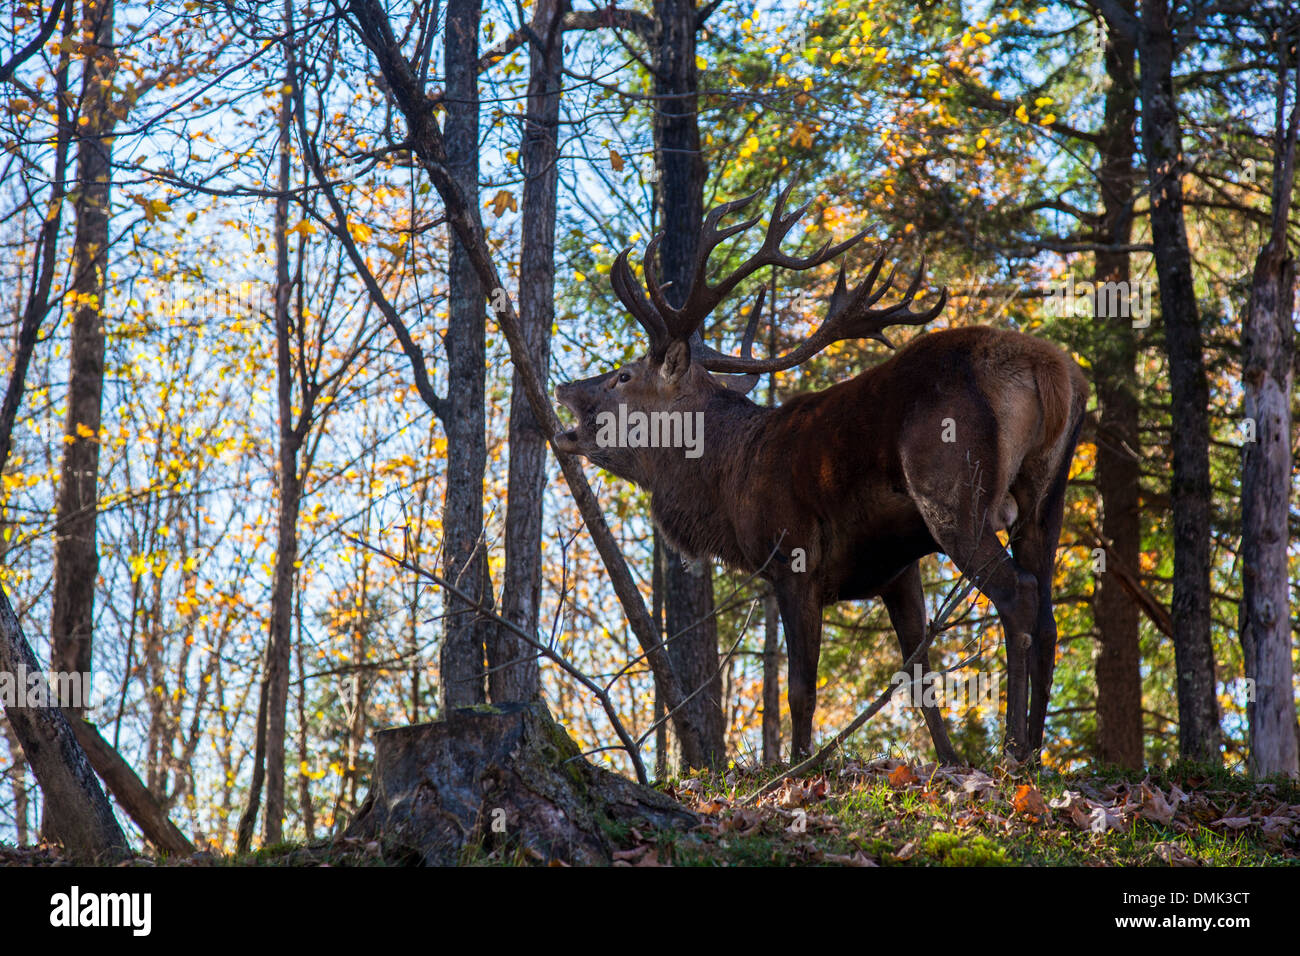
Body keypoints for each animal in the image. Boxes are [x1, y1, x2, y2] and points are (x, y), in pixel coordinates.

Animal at [554, 184, 1089, 764]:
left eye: (623, 376)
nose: (564, 387)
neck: (730, 480)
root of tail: (1049, 370)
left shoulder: (795, 556)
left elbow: (800, 688)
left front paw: (798, 766)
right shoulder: (897, 567)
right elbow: (918, 674)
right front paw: (948, 760)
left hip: (952, 494)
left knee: (1018, 596)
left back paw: (1013, 749)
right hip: (1046, 498)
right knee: (1047, 614)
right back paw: (1035, 749)